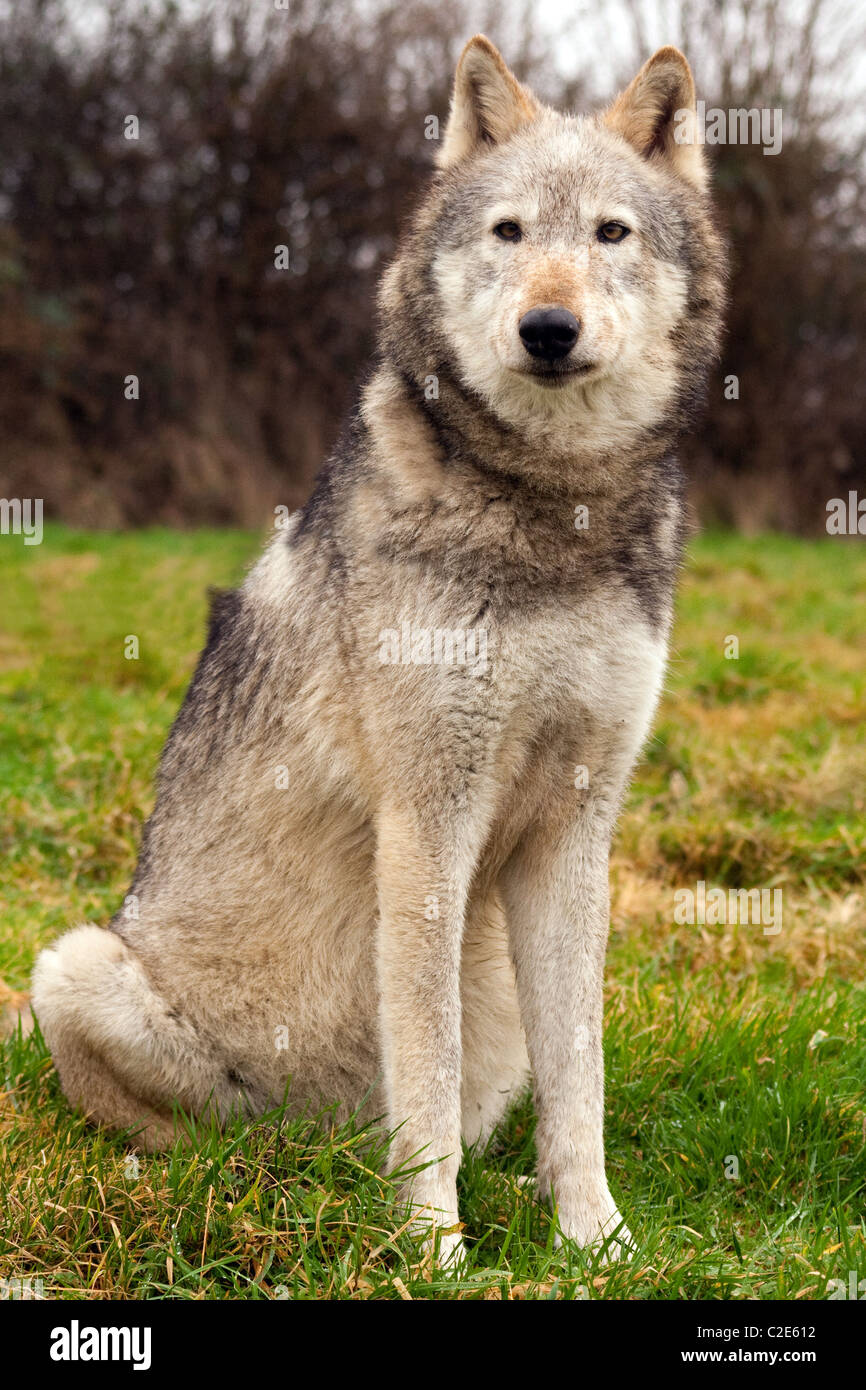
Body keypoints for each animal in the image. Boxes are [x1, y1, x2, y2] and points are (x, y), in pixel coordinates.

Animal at [31, 36, 725, 1261]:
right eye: (507, 232)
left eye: (610, 233)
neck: (551, 506)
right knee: (202, 1127)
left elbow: (580, 1076)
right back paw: (237, 1172)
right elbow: (427, 1062)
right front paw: (433, 1247)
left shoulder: (575, 831)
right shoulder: (425, 818)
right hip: (73, 966)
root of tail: (319, 1138)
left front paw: (592, 1240)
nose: (548, 330)